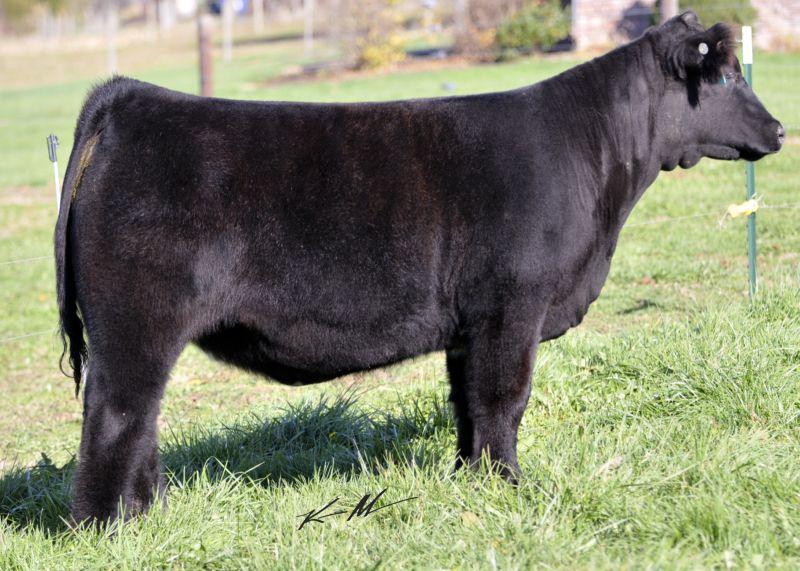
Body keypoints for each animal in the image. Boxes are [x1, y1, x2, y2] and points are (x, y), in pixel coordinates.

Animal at [55, 11, 784, 525]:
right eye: (725, 78)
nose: (778, 130)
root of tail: (128, 98)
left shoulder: (469, 325)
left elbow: (467, 404)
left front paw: (473, 480)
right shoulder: (512, 307)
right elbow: (503, 399)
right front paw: (510, 484)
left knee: (142, 419)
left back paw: (148, 512)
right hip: (135, 325)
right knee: (114, 415)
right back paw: (106, 527)